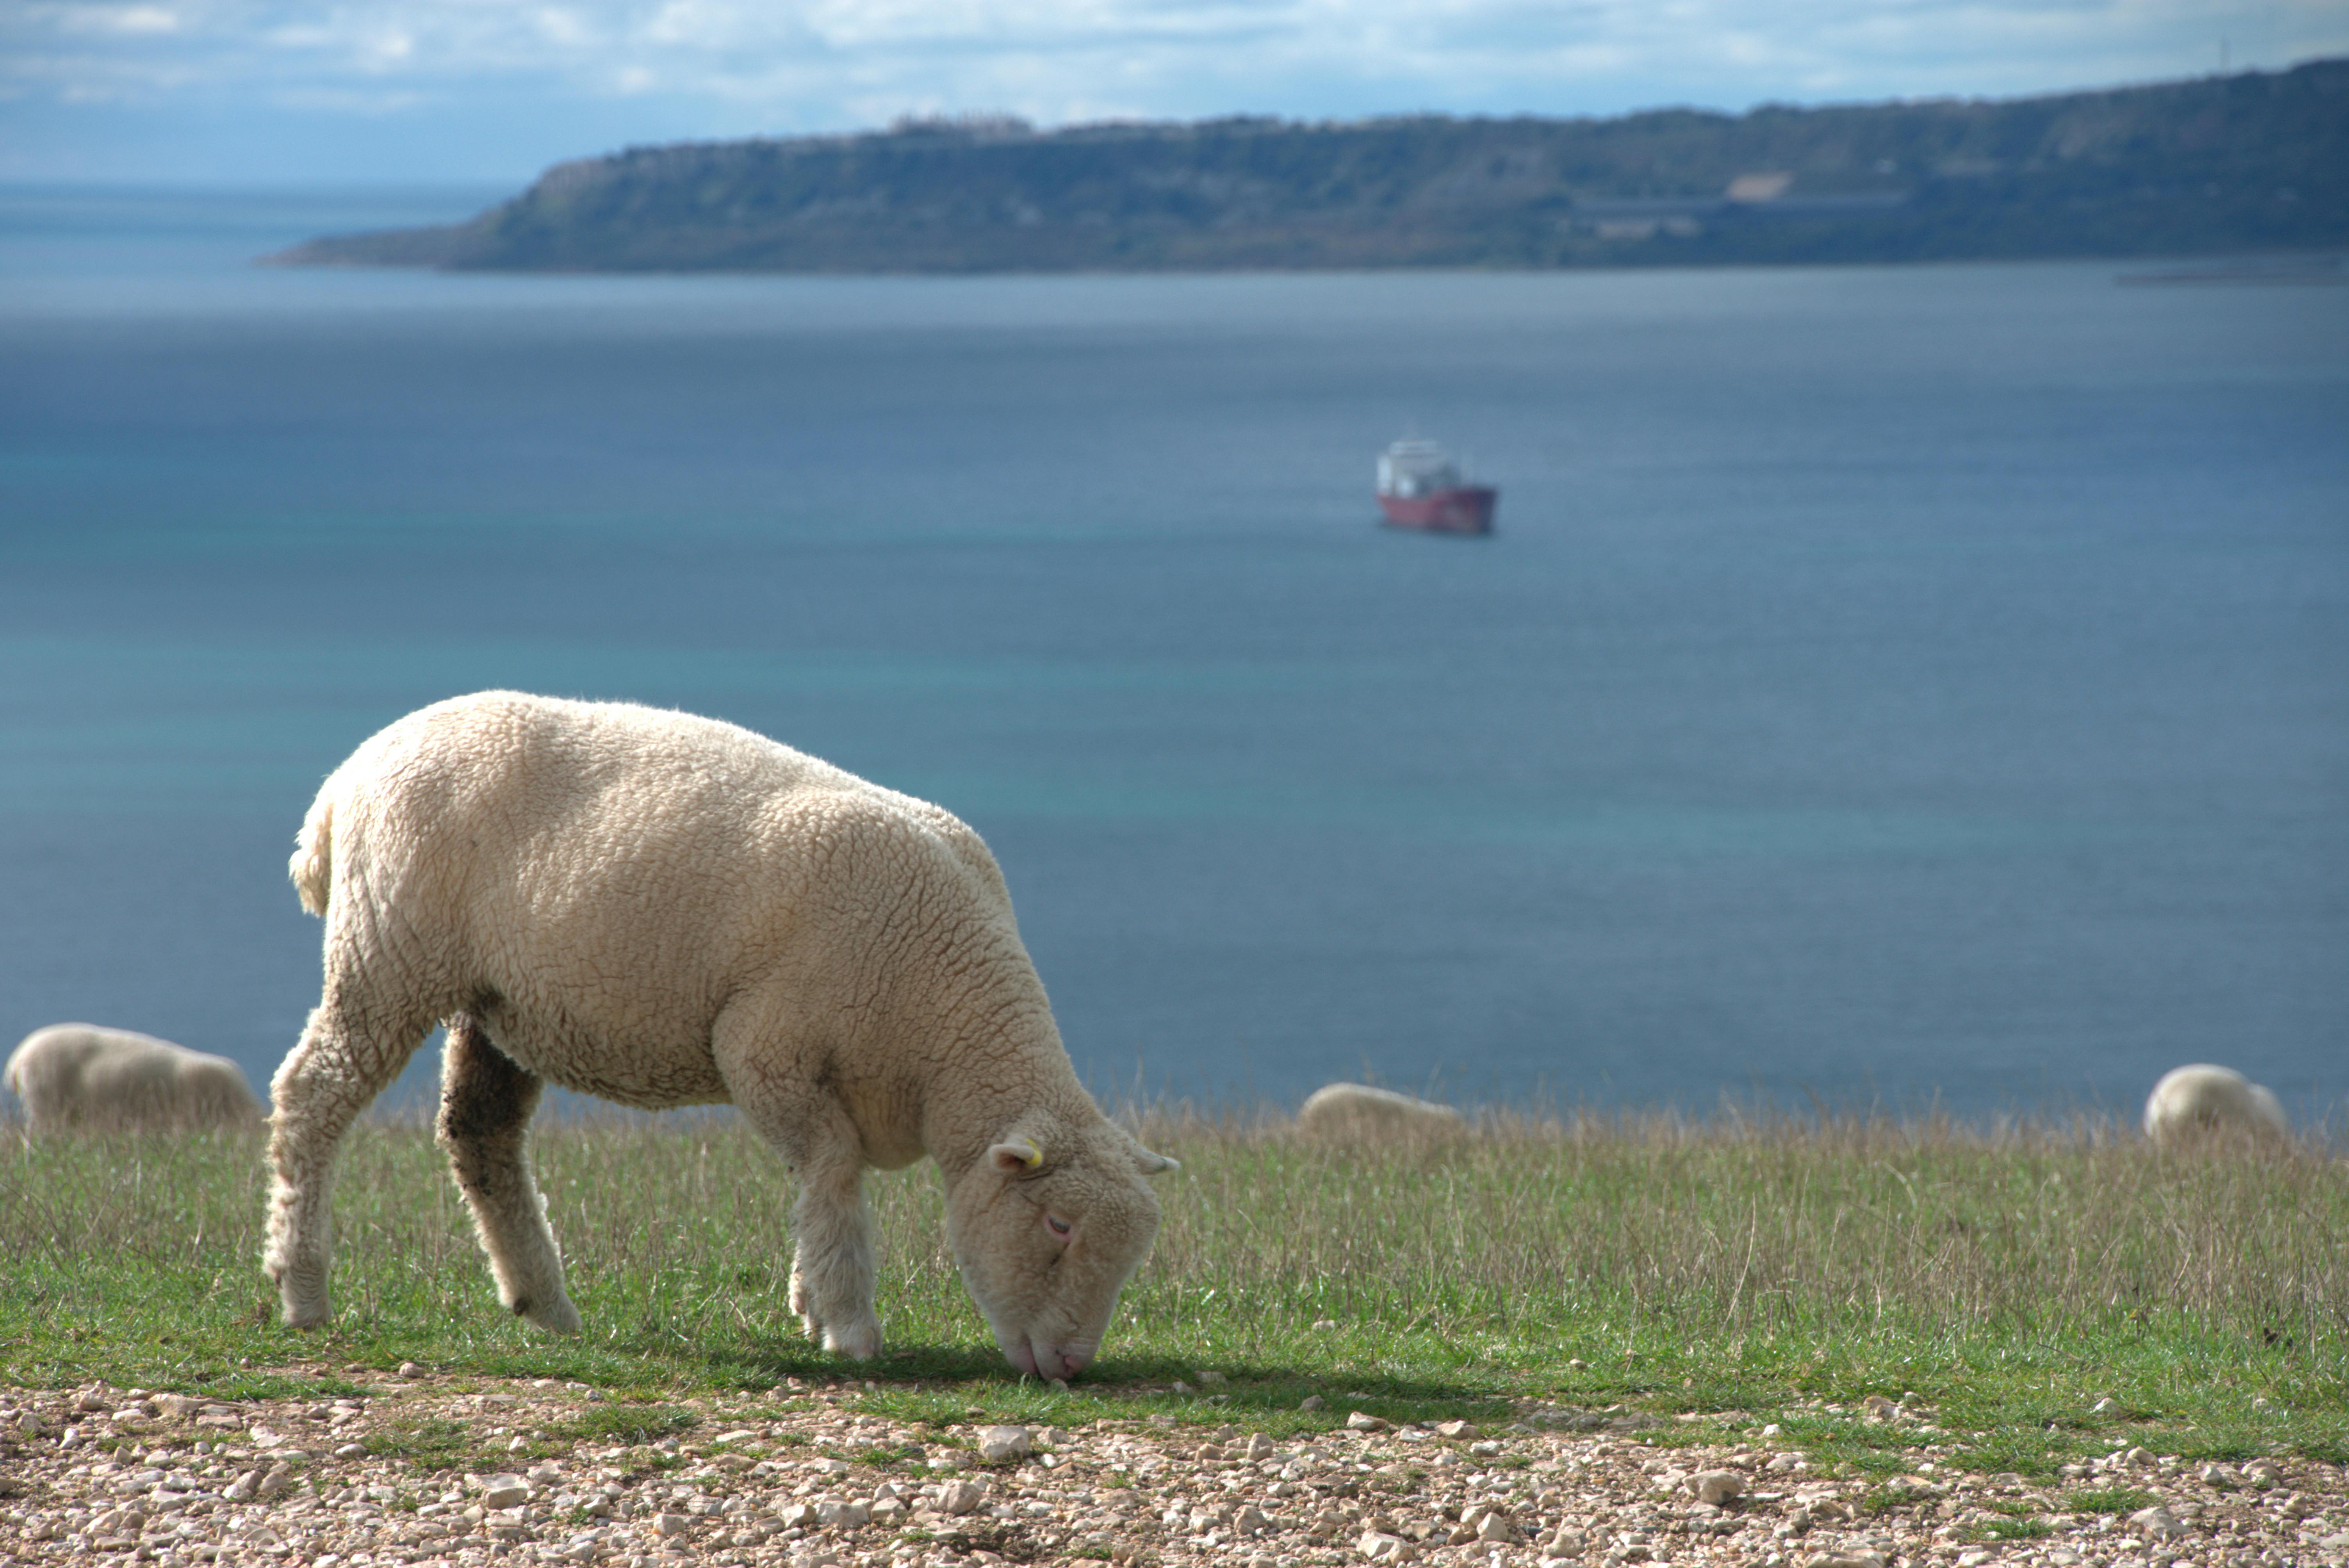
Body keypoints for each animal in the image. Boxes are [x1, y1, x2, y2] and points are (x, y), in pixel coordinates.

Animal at [265, 691, 1176, 1379]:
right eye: (1058, 1227)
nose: (1069, 1367)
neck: (942, 1023)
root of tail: (343, 783)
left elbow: (820, 1186)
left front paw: (811, 1297)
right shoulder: (765, 1048)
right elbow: (834, 1177)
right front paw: (846, 1322)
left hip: (497, 1001)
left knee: (478, 1135)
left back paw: (546, 1305)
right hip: (389, 951)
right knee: (313, 1095)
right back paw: (303, 1289)